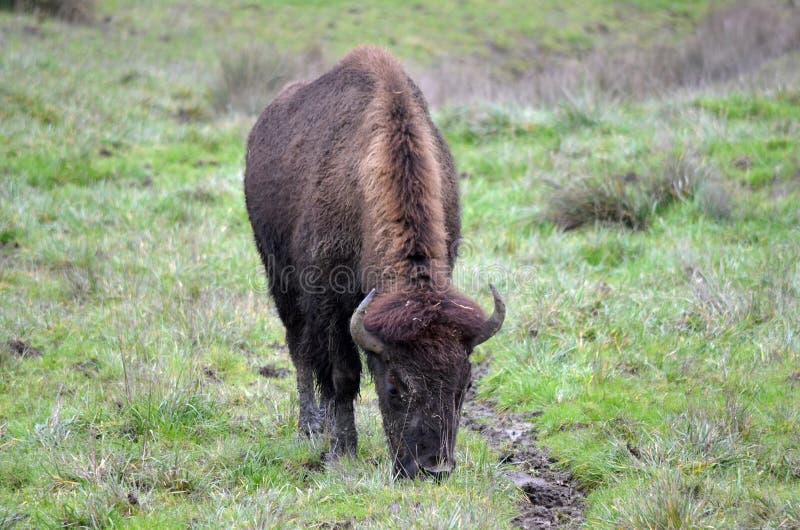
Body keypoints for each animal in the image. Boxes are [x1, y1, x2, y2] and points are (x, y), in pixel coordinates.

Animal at [244, 46, 505, 479]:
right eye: (395, 386)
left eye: (464, 385)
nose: (432, 469)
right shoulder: (330, 301)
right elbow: (343, 375)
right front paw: (343, 450)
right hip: (280, 279)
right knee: (300, 350)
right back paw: (311, 426)